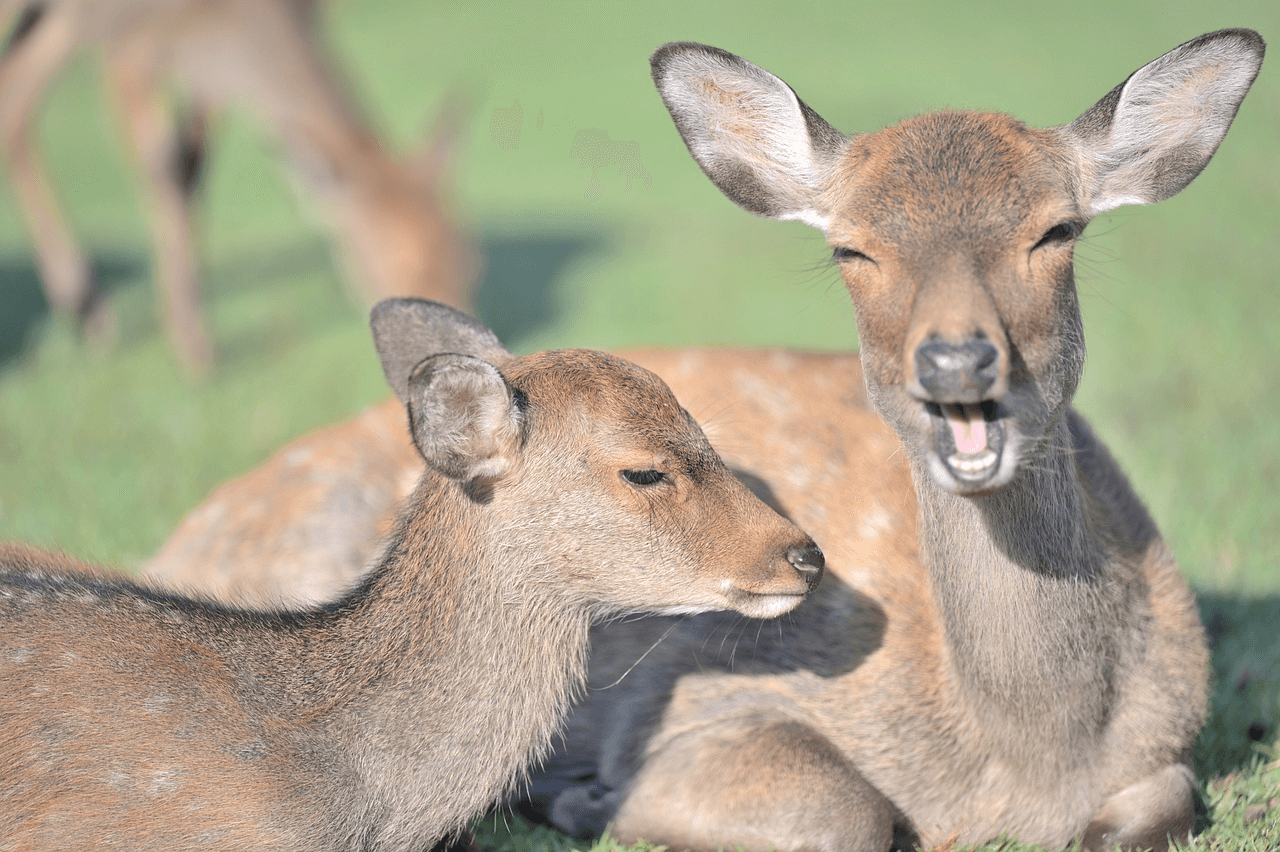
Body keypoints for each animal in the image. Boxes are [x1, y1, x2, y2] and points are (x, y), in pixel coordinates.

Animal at [0, 0, 475, 377]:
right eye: (388, 264)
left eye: (468, 262)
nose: (449, 354)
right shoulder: (126, 48)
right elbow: (164, 170)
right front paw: (194, 351)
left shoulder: (205, 65)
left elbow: (192, 167)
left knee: (16, 94)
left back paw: (87, 307)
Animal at [139, 29, 1264, 851]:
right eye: (851, 249)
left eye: (1056, 230)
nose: (955, 362)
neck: (1025, 766)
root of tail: (178, 541)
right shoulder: (709, 685)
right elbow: (847, 813)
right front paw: (588, 800)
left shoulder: (1166, 745)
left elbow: (1160, 804)